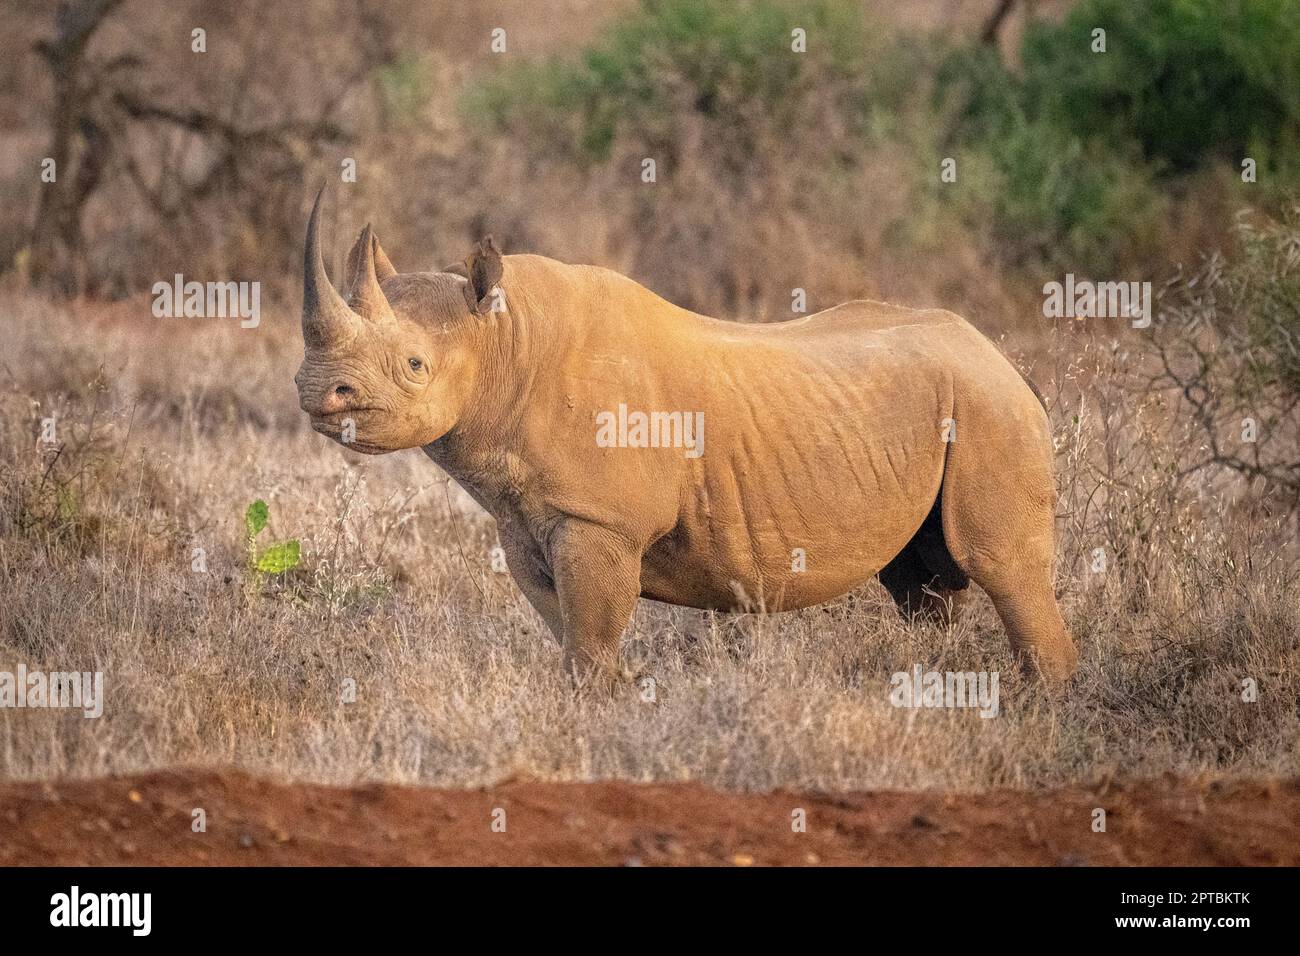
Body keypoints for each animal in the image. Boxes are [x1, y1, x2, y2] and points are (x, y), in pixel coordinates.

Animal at [295, 191, 1079, 687]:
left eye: (414, 366)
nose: (315, 392)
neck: (503, 343)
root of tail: (1005, 361)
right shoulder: (524, 522)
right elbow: (569, 635)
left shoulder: (600, 521)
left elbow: (590, 648)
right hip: (952, 404)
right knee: (922, 584)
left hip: (989, 410)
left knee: (1001, 564)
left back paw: (1042, 713)